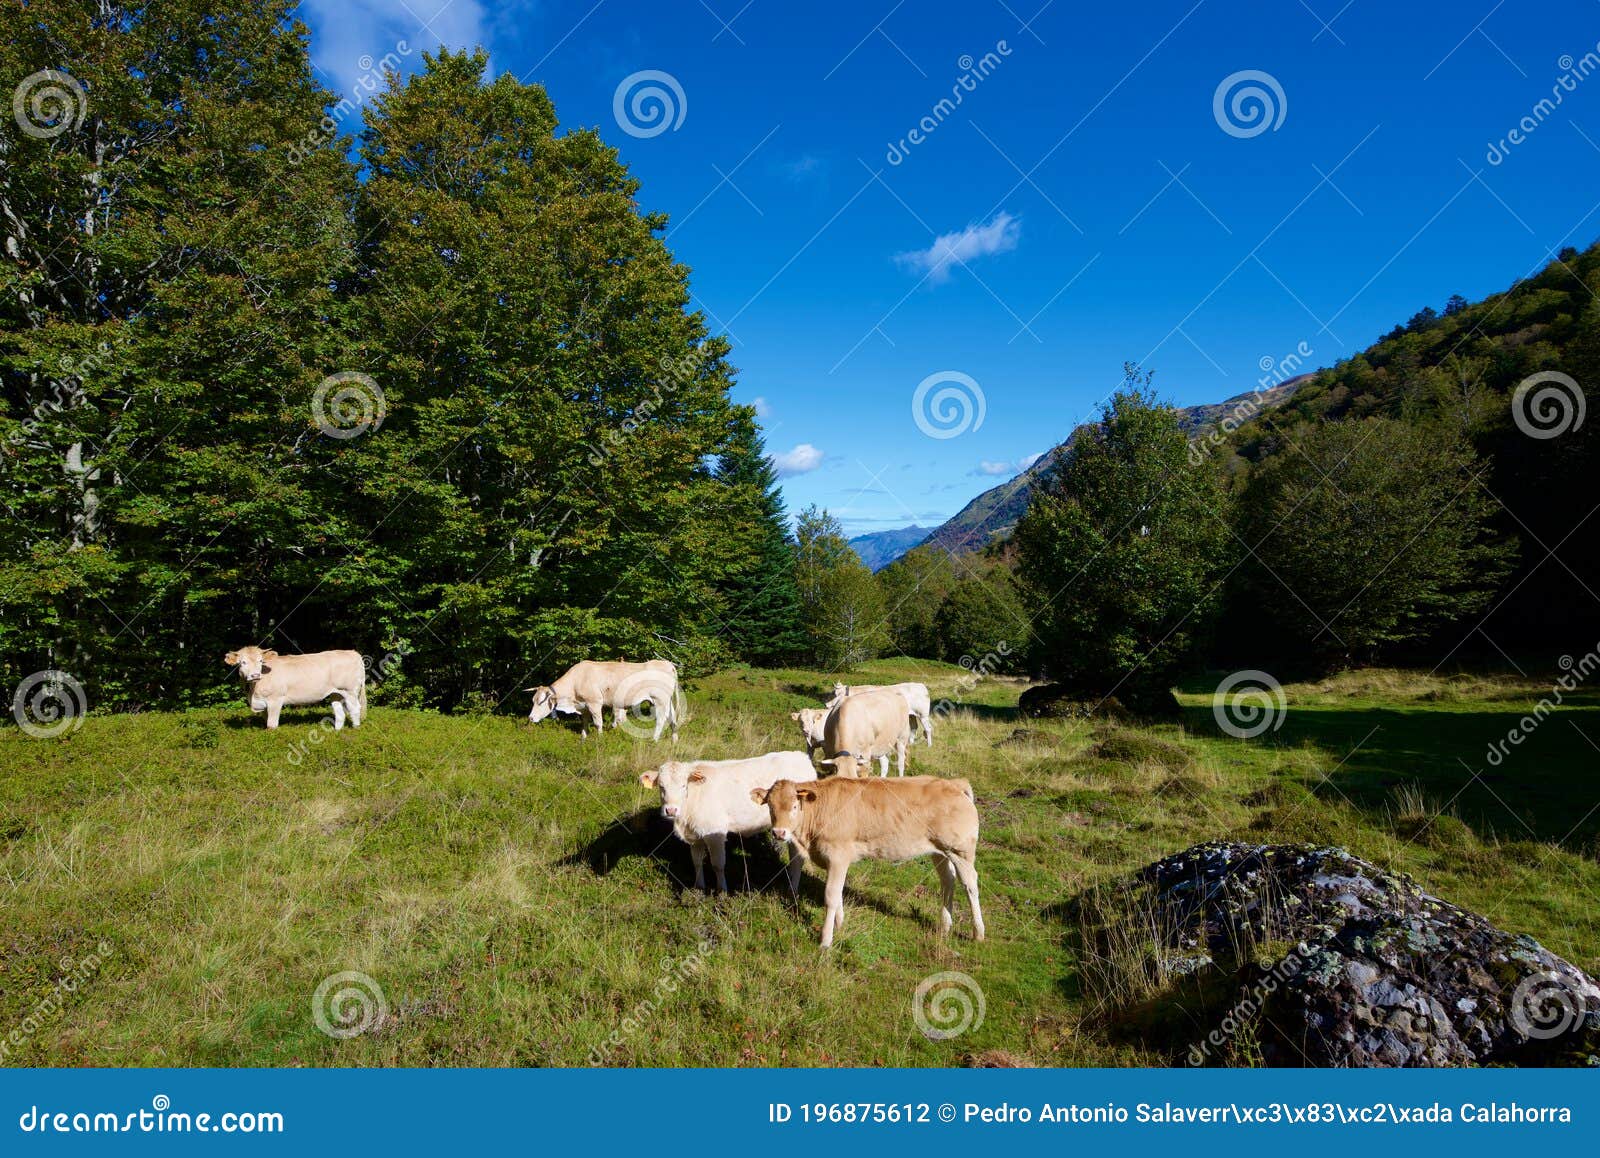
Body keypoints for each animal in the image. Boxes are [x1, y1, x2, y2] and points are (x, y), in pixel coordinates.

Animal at [223, 646, 366, 731]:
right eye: (243, 662)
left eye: (260, 661)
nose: (255, 675)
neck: (253, 691)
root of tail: (352, 652)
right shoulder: (263, 704)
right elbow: (266, 722)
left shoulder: (275, 700)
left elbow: (271, 724)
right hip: (336, 693)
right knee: (339, 712)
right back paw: (337, 731)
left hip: (350, 691)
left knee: (355, 709)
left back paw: (356, 729)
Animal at [526, 659, 680, 740]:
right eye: (533, 700)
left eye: (540, 702)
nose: (531, 718)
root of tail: (667, 663)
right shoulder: (584, 705)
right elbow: (584, 722)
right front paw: (583, 738)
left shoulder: (594, 703)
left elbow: (597, 723)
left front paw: (599, 739)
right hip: (667, 701)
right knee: (673, 719)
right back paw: (674, 740)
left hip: (660, 700)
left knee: (661, 719)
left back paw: (654, 740)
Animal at [639, 752, 817, 895]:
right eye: (661, 787)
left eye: (684, 785)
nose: (671, 810)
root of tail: (802, 757)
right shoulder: (695, 836)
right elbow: (696, 862)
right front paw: (699, 887)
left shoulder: (715, 833)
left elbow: (717, 864)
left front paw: (722, 891)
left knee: (797, 858)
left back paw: (792, 890)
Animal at [750, 776, 985, 948]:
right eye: (770, 807)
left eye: (794, 807)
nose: (779, 833)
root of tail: (954, 783)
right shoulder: (836, 860)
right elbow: (838, 894)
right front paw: (840, 924)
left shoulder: (838, 855)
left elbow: (831, 896)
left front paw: (825, 941)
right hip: (940, 851)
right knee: (948, 880)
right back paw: (945, 926)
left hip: (960, 850)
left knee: (970, 884)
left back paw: (978, 933)